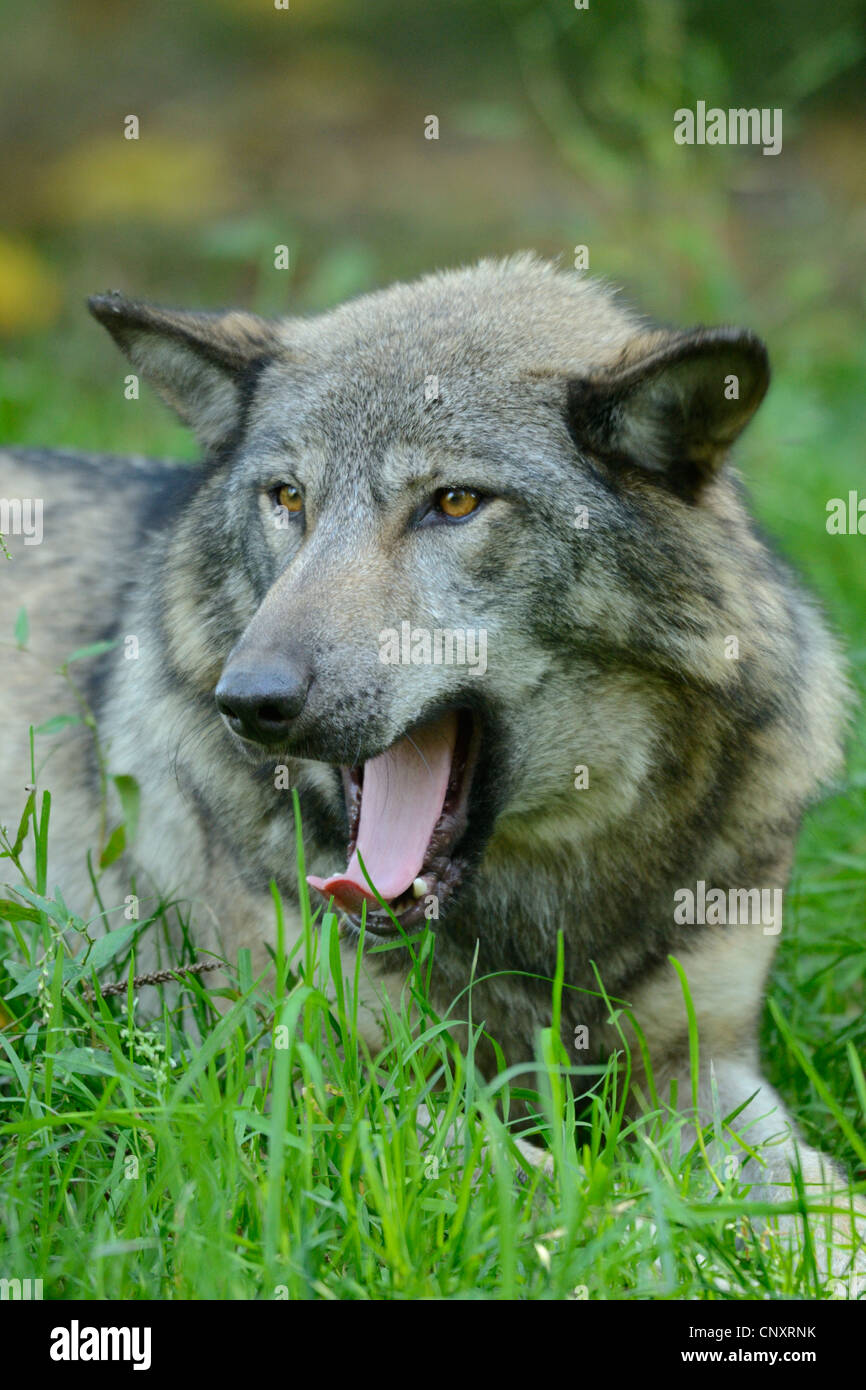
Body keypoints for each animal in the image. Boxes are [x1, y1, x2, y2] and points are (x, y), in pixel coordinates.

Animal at [0, 255, 862, 1276]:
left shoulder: (703, 1063)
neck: (540, 919)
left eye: (453, 502)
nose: (248, 700)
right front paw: (700, 1256)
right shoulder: (334, 1085)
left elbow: (824, 1202)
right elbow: (612, 1212)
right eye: (288, 498)